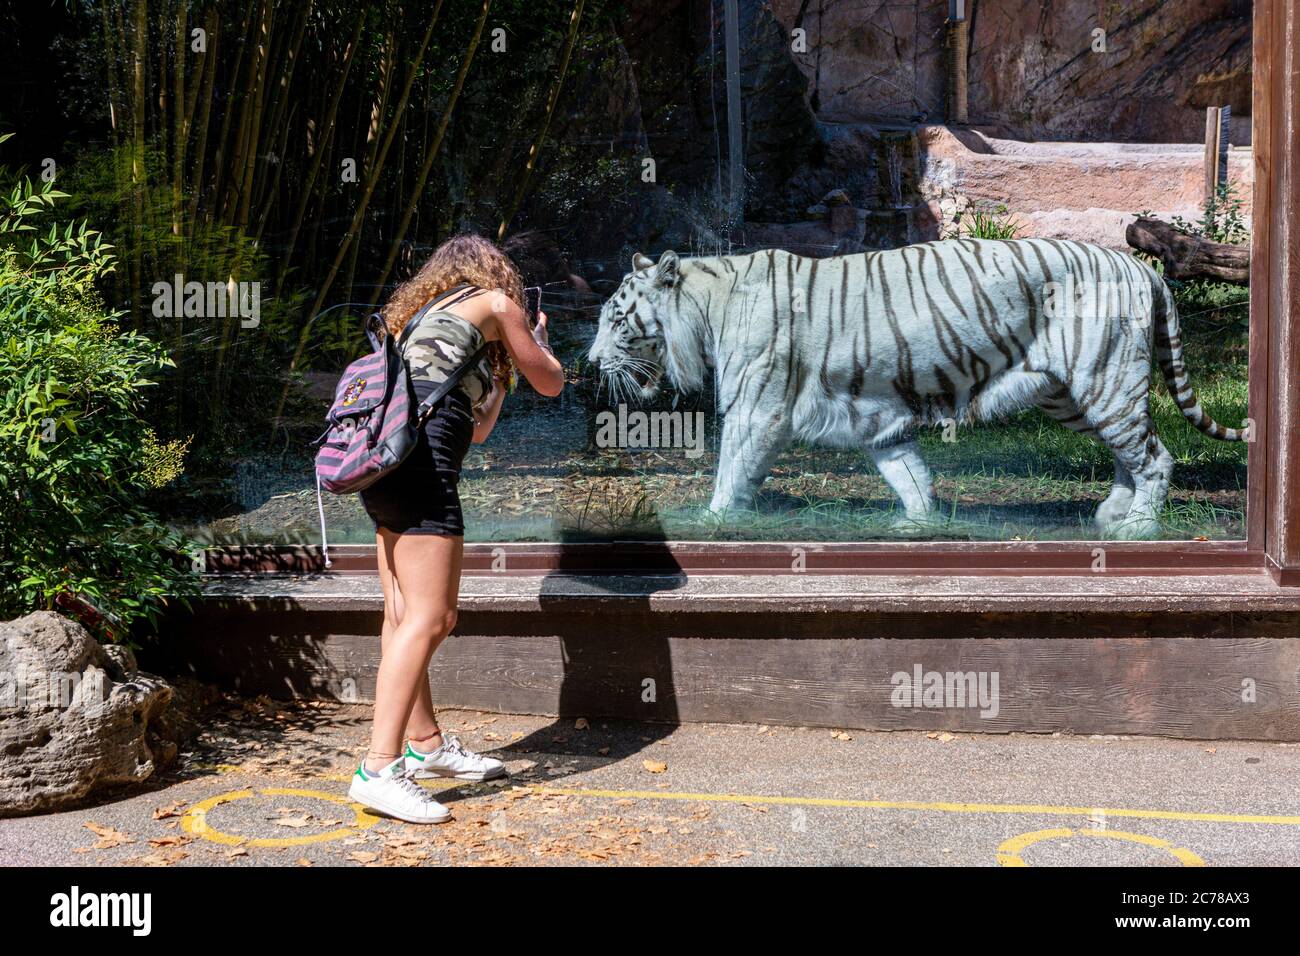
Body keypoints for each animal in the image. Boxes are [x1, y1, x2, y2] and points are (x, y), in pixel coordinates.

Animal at [586, 239, 1244, 539]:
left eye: (616, 320)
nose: (590, 361)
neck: (705, 307)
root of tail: (1144, 267)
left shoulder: (755, 407)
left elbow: (731, 465)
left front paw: (713, 517)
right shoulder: (875, 415)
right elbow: (906, 471)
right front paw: (919, 521)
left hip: (1104, 380)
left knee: (1155, 455)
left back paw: (1138, 526)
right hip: (1072, 392)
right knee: (1127, 452)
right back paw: (1111, 513)